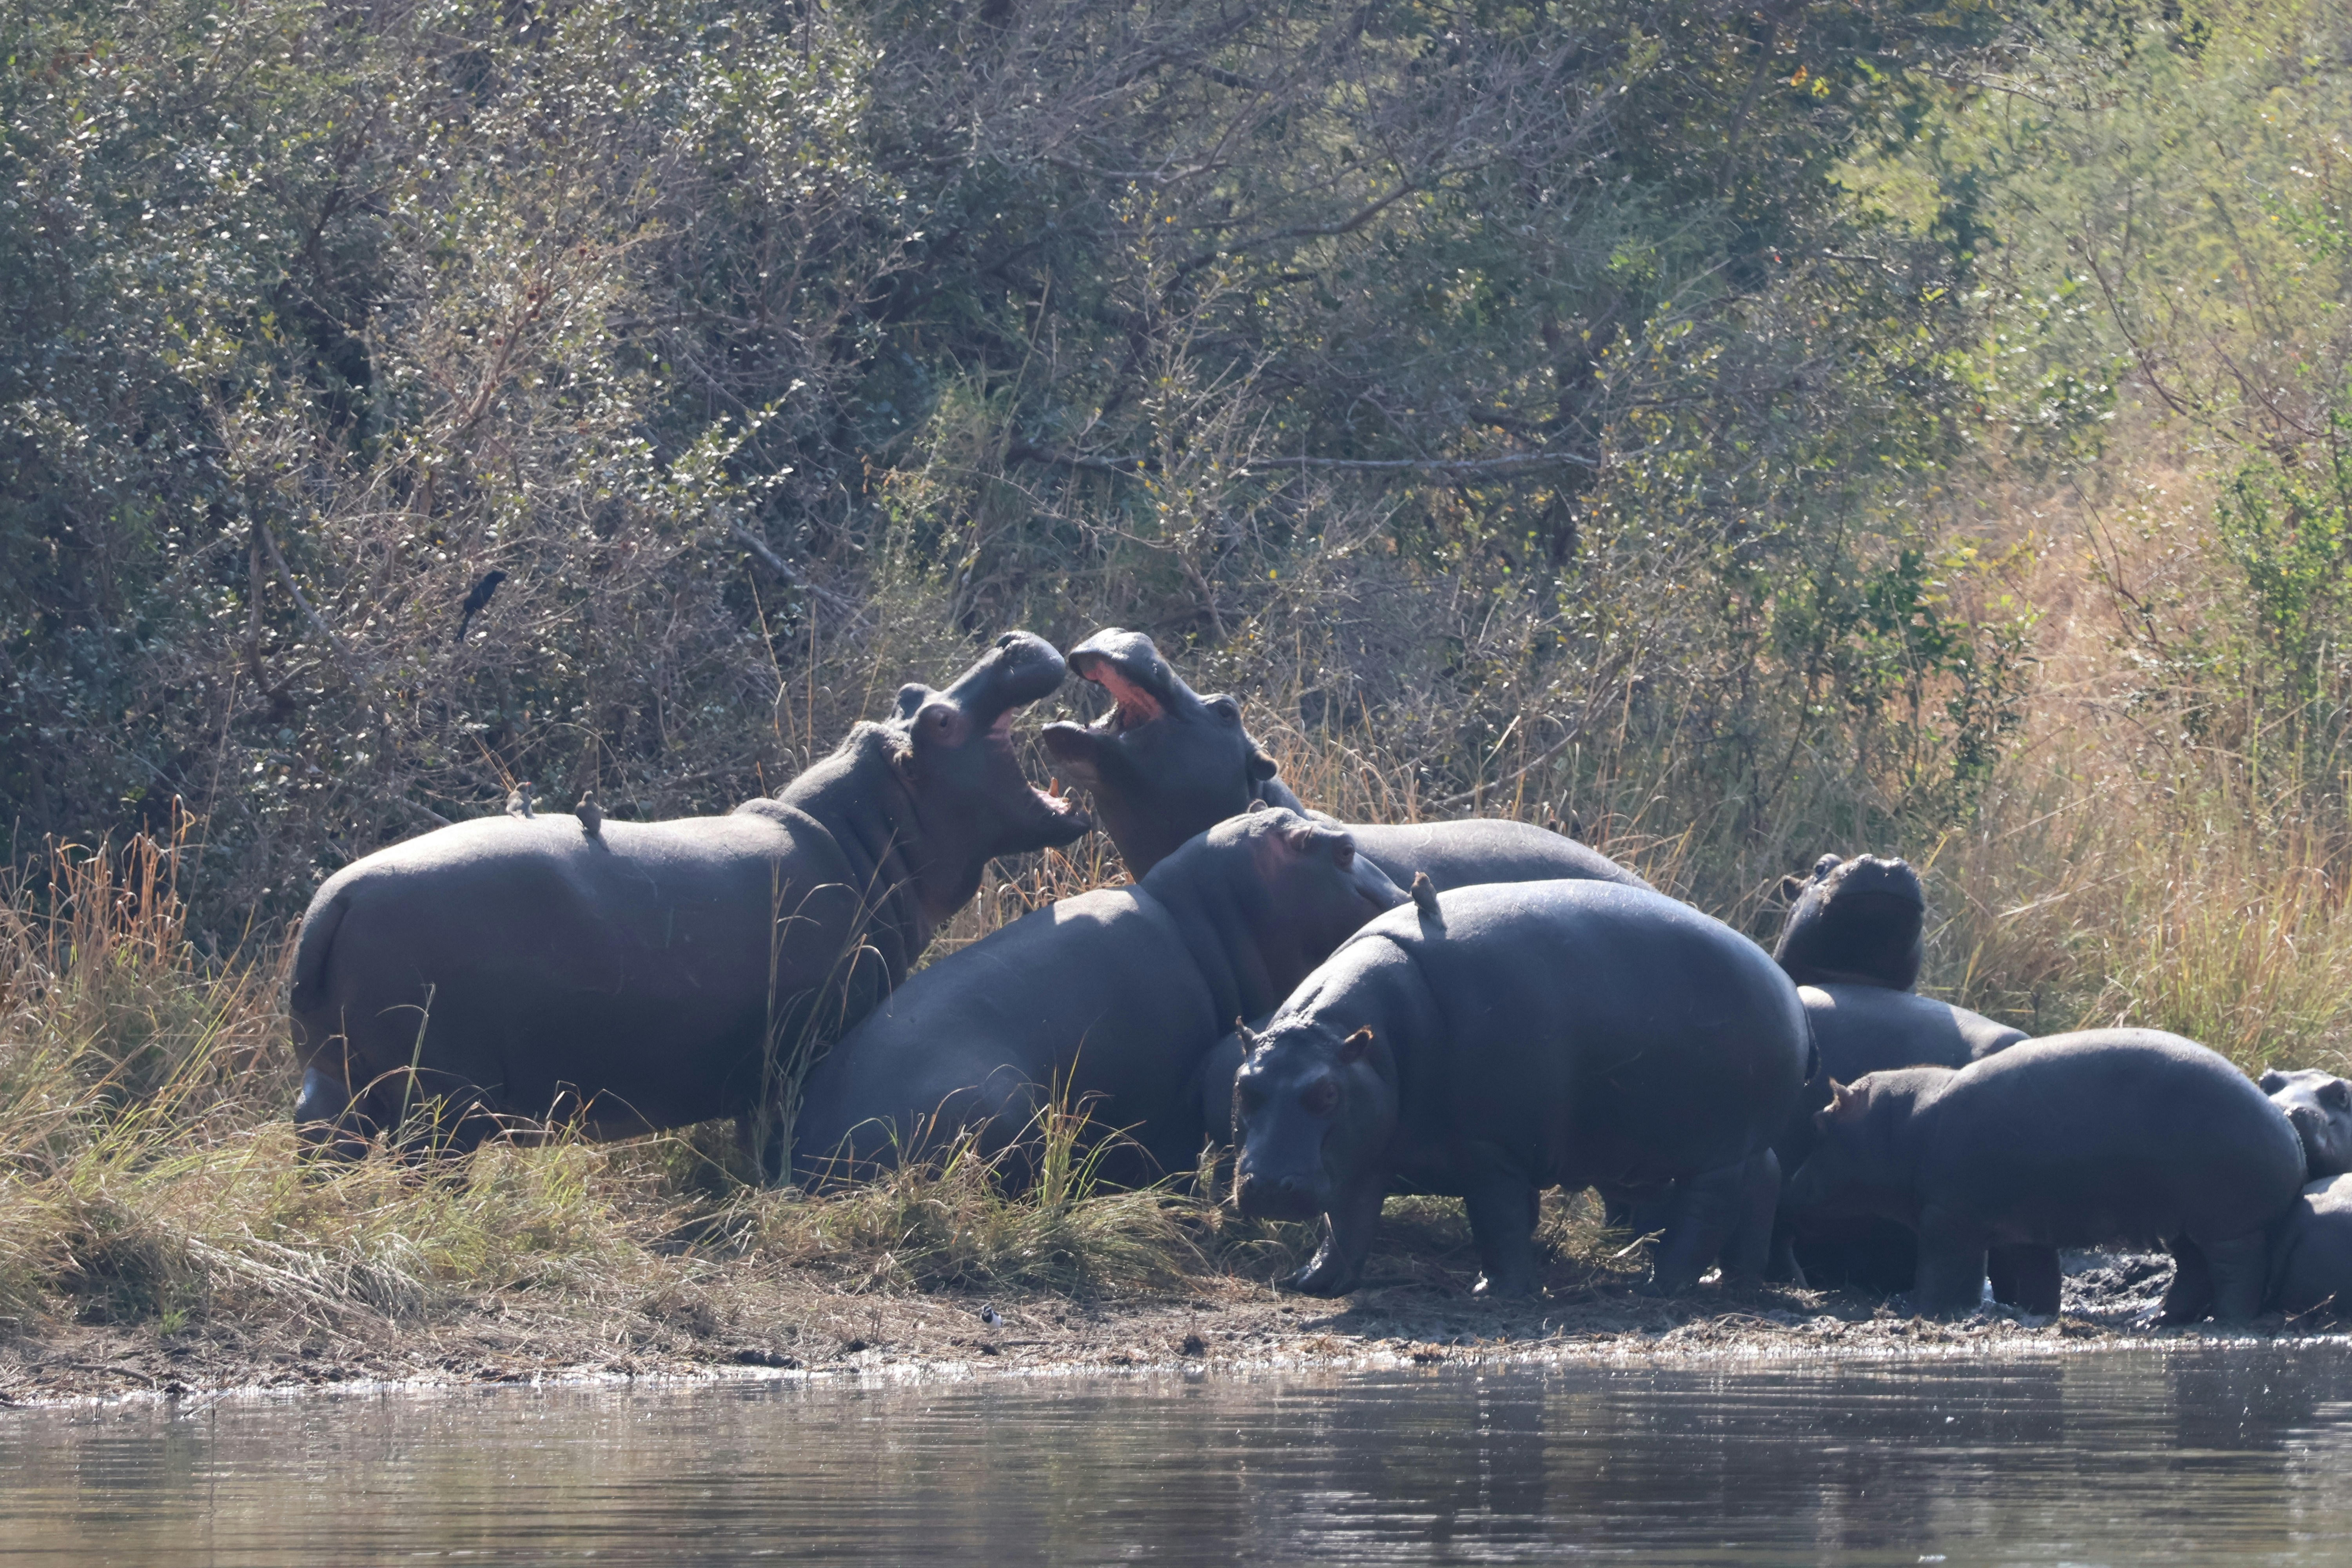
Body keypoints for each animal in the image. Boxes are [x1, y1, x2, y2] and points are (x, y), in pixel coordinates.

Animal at [289, 632, 1088, 1168]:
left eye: (913, 695)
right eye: (937, 722)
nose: (1010, 642)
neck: (865, 840)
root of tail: (334, 903)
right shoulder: (799, 1060)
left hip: (337, 1086)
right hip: (438, 1103)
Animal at [792, 809, 1406, 1186]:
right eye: (1344, 850)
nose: (1407, 892)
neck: (1196, 919)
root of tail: (806, 1160)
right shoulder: (1169, 1094)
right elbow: (1172, 1160)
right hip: (1005, 1107)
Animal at [1231, 880, 1811, 1298]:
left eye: (1327, 1094)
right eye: (1243, 1087)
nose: (1266, 1184)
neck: (1352, 1043)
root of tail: (1788, 988)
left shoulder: (1490, 1149)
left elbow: (1499, 1219)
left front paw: (1496, 1292)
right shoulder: (1364, 1153)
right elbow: (1346, 1224)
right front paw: (1311, 1284)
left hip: (1717, 1149)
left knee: (1705, 1213)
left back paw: (1660, 1286)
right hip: (1738, 1144)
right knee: (1764, 1182)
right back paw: (1732, 1283)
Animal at [1784, 1029, 2308, 1322]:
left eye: (1819, 1123)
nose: (1792, 1186)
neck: (1901, 1124)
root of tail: (2289, 1132)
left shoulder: (1948, 1219)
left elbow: (1943, 1276)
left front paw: (1929, 1312)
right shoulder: (2023, 1231)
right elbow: (2039, 1280)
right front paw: (2035, 1314)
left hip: (2225, 1225)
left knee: (2237, 1272)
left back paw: (2228, 1321)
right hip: (2182, 1225)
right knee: (2193, 1273)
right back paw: (2149, 1321)